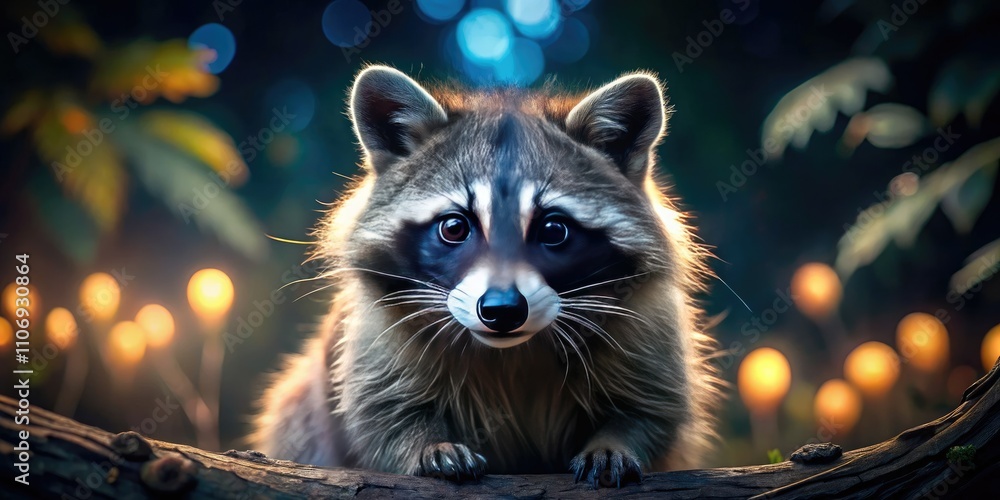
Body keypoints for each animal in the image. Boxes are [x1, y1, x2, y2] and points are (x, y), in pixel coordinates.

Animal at [252, 65, 722, 487]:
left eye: (553, 230)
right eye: (454, 227)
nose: (502, 310)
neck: (512, 352)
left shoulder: (647, 320)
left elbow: (653, 408)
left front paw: (615, 441)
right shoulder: (377, 327)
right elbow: (381, 411)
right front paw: (426, 442)